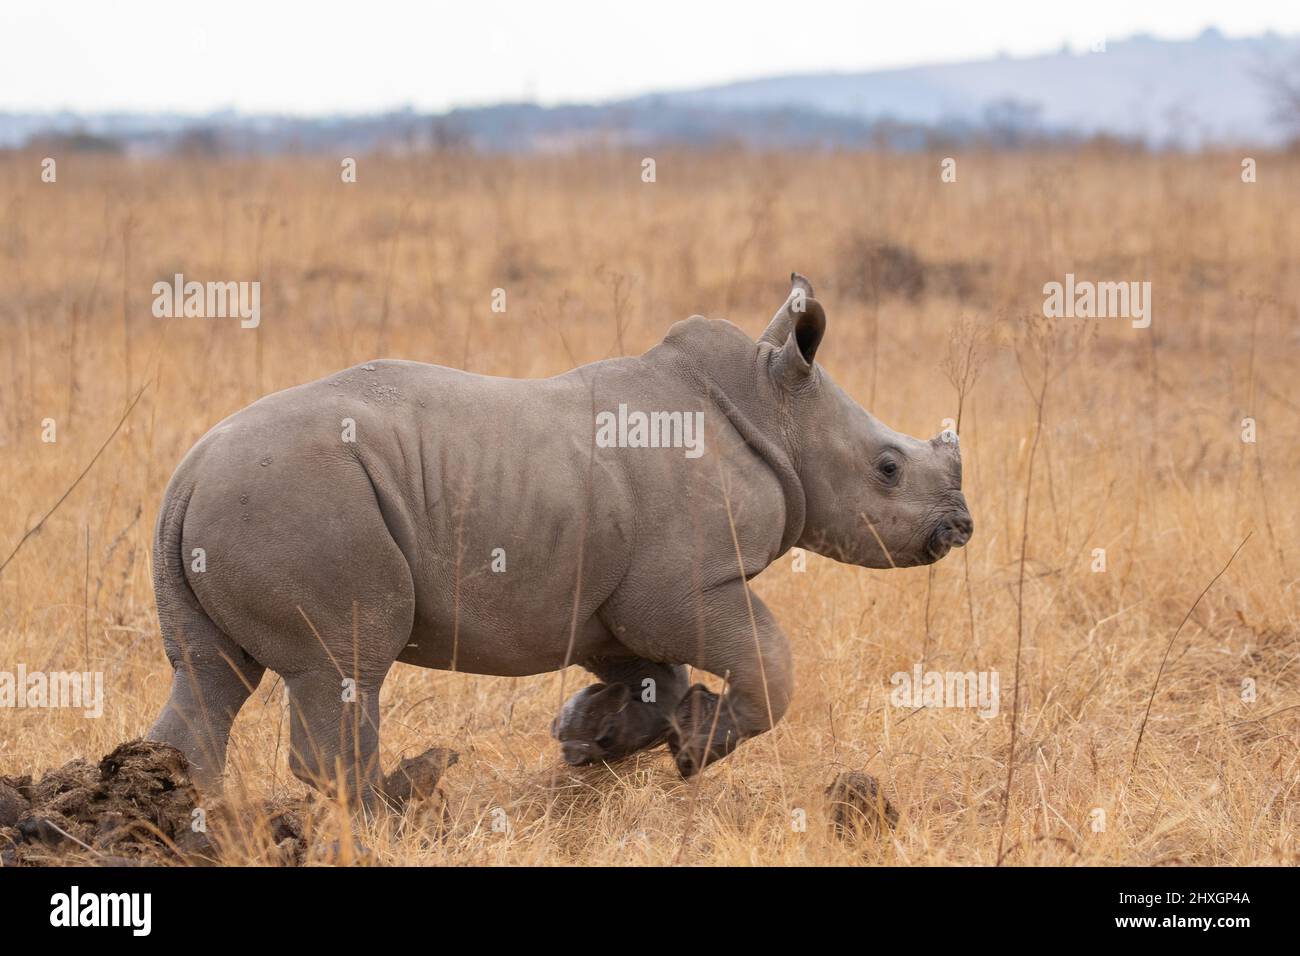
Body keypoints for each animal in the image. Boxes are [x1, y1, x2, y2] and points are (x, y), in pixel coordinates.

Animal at [147, 273, 972, 808]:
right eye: (888, 468)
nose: (960, 527)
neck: (771, 412)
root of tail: (186, 476)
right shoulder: (679, 585)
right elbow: (769, 658)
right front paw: (696, 752)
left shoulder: (609, 600)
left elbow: (656, 674)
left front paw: (593, 740)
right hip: (303, 502)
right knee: (343, 664)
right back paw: (397, 809)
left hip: (234, 512)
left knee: (212, 674)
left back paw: (174, 819)